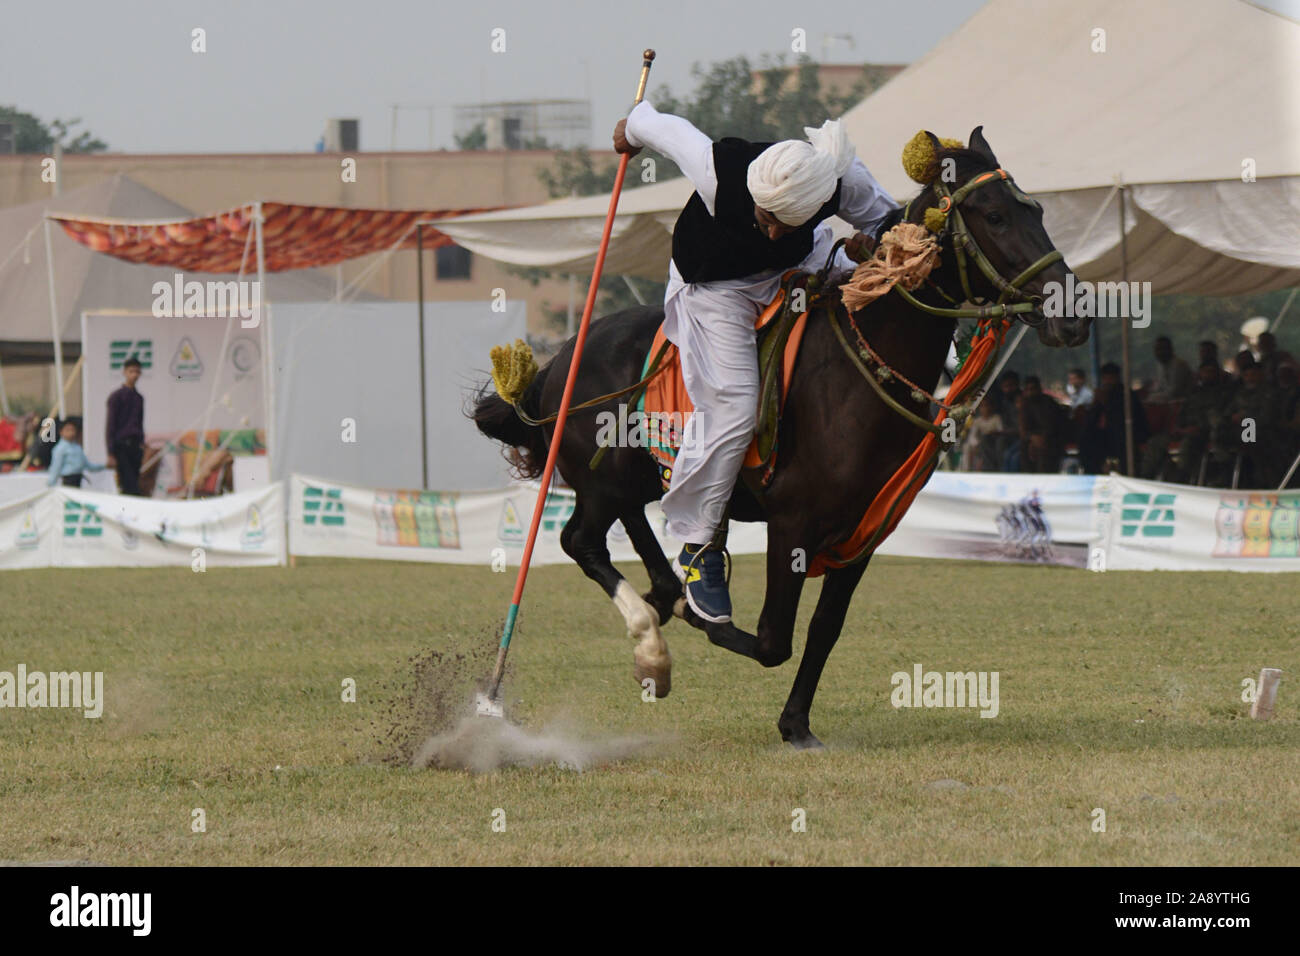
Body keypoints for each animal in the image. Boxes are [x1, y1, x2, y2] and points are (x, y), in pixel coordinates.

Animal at [473, 127, 1091, 748]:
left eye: (1036, 209)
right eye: (995, 215)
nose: (1073, 314)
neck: (859, 371)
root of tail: (559, 361)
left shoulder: (864, 530)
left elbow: (823, 629)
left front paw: (796, 723)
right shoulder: (793, 523)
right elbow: (773, 639)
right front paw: (705, 618)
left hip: (630, 481)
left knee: (638, 527)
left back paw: (669, 600)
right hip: (601, 482)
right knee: (580, 540)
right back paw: (654, 641)